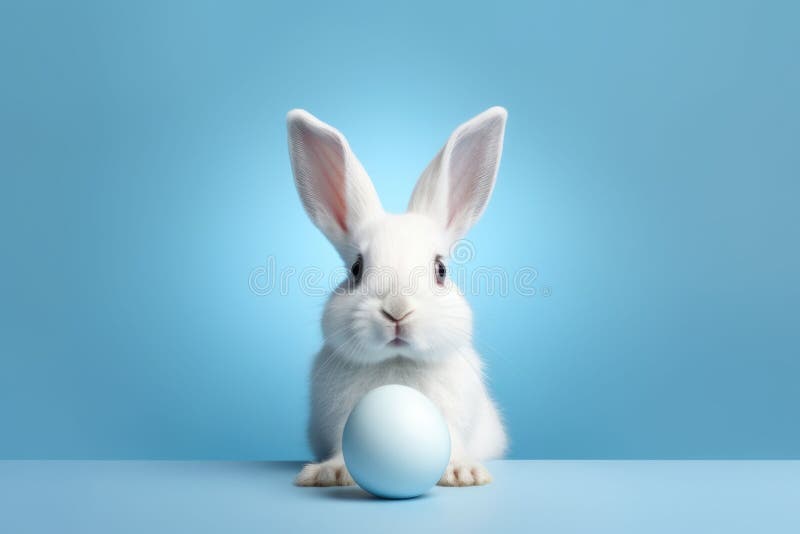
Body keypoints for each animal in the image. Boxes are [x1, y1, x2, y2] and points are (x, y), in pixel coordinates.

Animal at [287, 107, 508, 487]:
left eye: (440, 270)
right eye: (356, 269)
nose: (397, 310)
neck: (397, 362)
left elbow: (452, 438)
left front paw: (461, 473)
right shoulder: (339, 415)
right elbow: (344, 443)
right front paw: (331, 473)